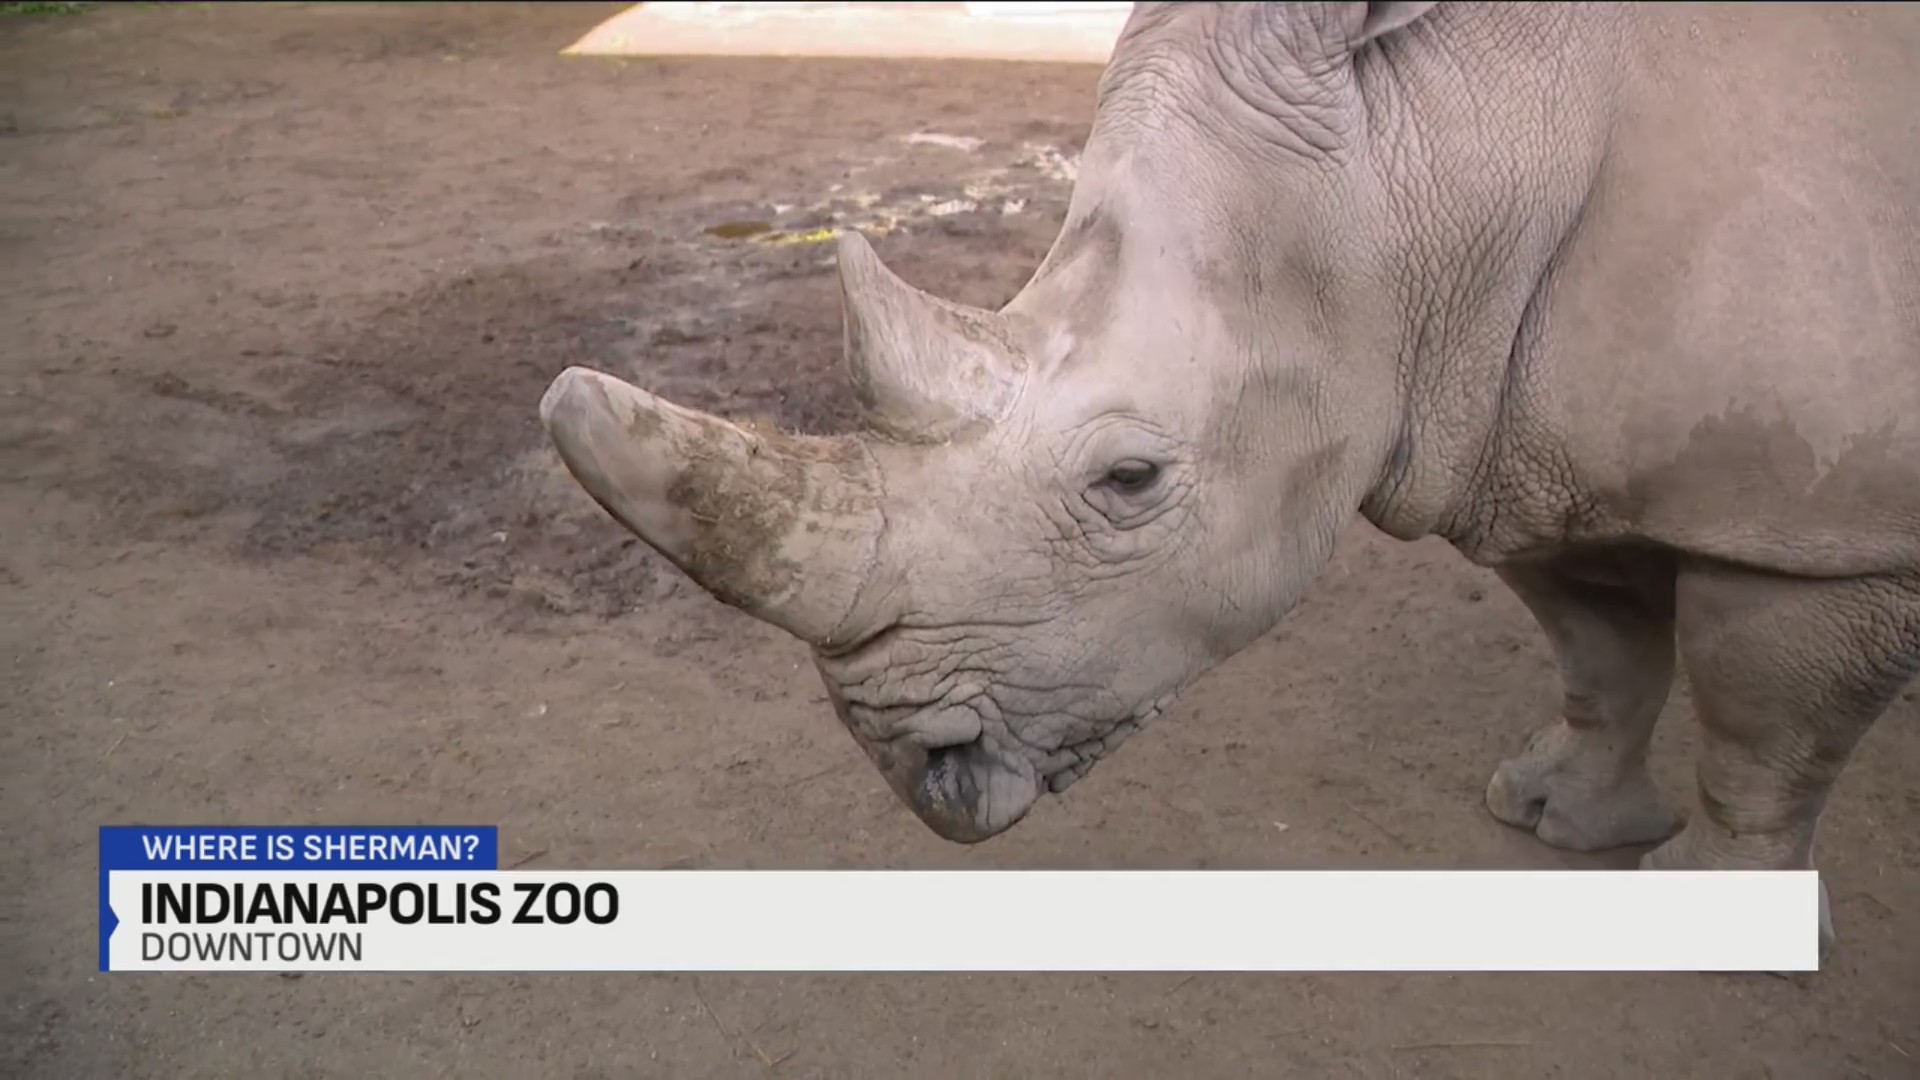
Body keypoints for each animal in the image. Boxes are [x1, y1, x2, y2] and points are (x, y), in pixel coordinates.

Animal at [539, 0, 1919, 951]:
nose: (918, 775)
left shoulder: (1816, 528)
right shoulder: (1522, 433)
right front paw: (1550, 816)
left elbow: (1762, 735)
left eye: (1131, 478)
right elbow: (1600, 648)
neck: (1430, 146)